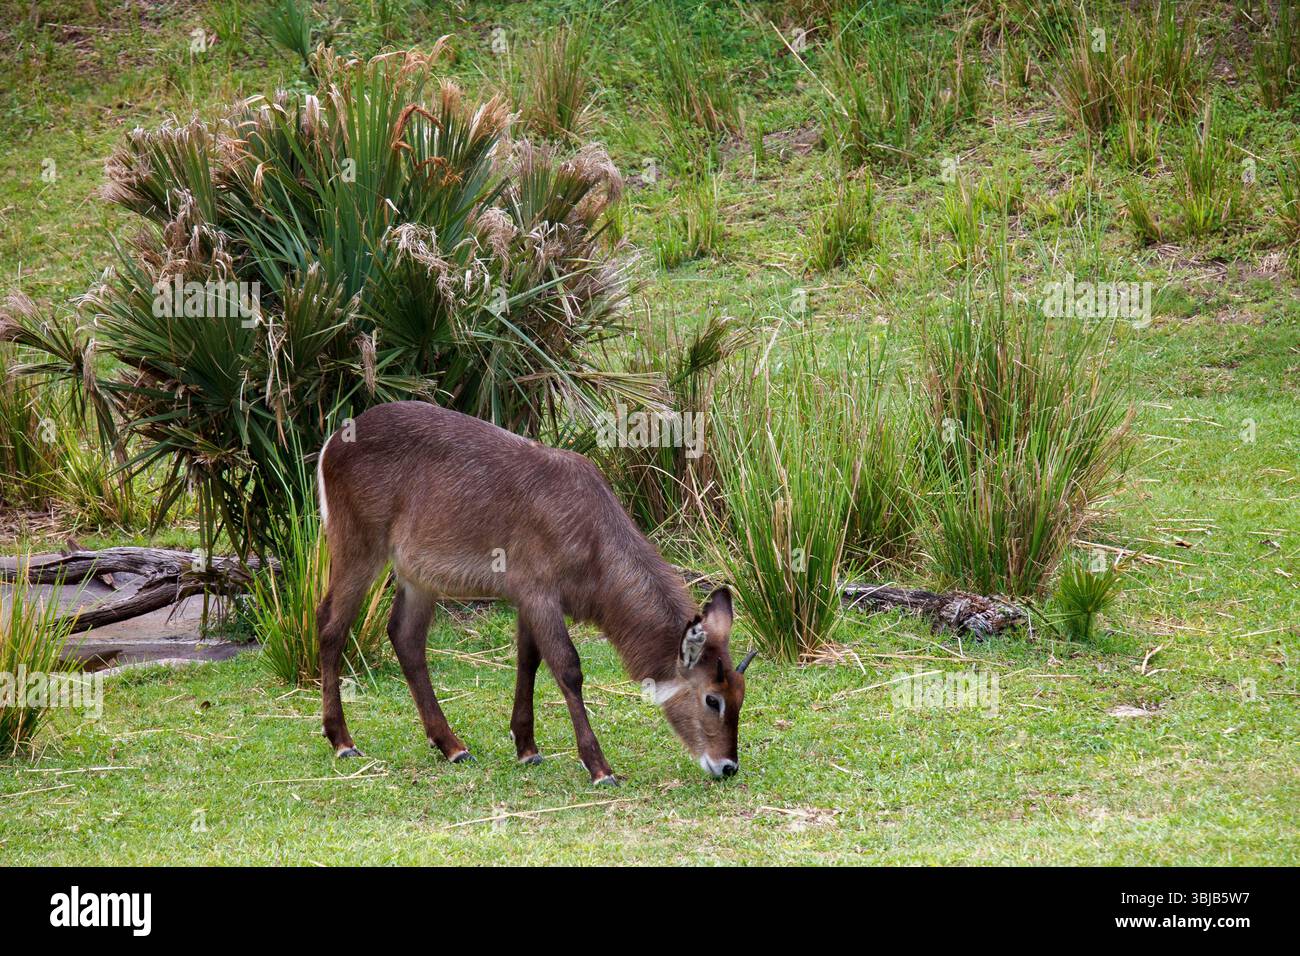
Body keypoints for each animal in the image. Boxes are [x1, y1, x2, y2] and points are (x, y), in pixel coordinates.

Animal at [315, 400, 755, 784]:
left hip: (418, 576)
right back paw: (342, 741)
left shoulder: (528, 599)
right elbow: (567, 668)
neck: (593, 532)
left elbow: (528, 661)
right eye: (712, 698)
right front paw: (599, 768)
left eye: (740, 694)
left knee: (405, 638)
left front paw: (527, 748)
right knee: (330, 626)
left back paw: (453, 746)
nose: (728, 766)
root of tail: (335, 439)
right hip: (357, 548)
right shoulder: (540, 594)